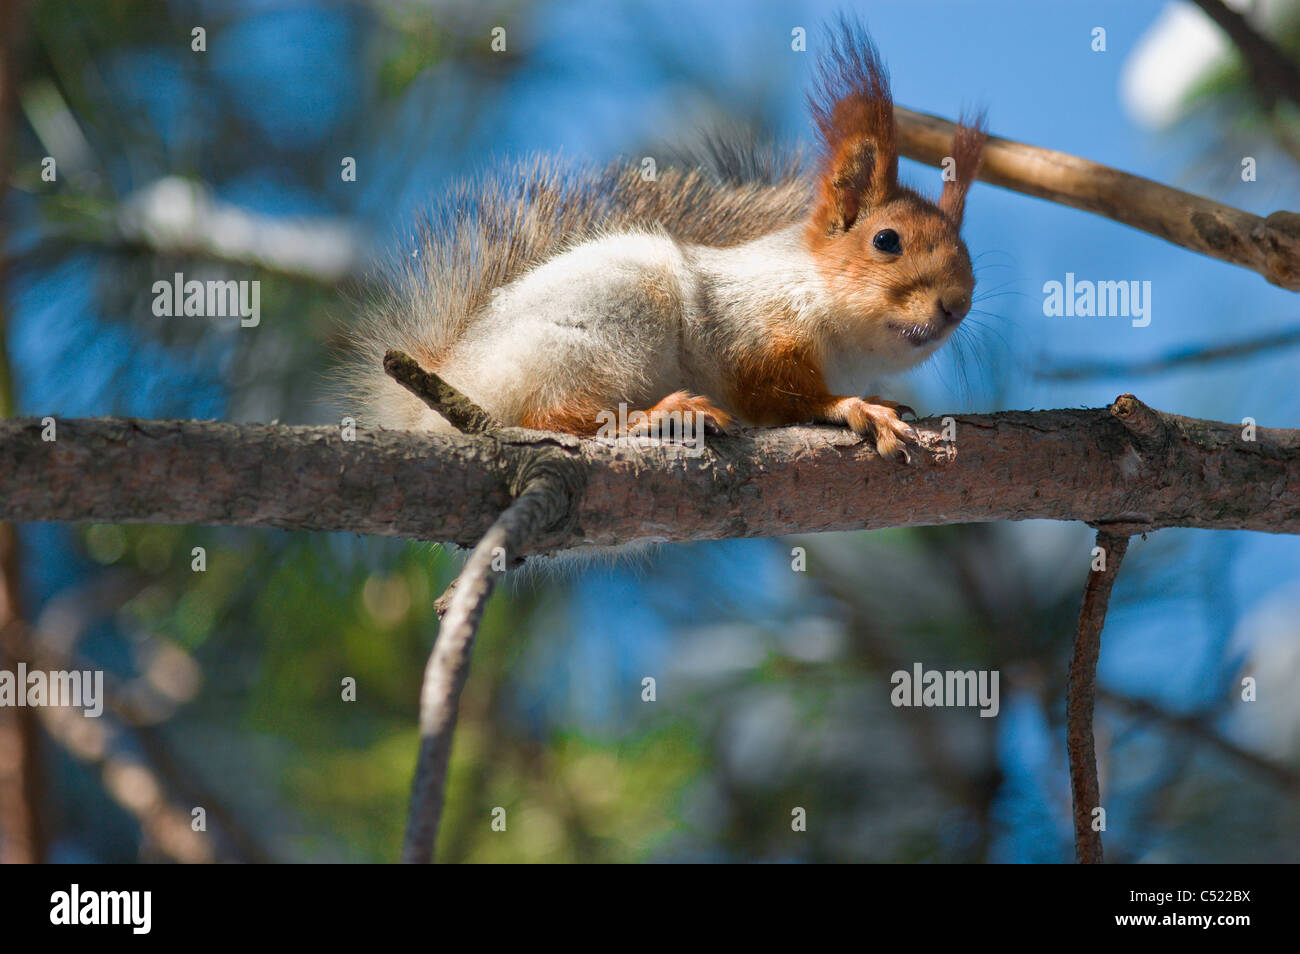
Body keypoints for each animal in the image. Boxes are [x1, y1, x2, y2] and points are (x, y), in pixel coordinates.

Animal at [351, 18, 986, 461]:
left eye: (969, 256)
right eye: (886, 240)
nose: (956, 305)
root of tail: (454, 380)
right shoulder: (748, 331)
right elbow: (777, 395)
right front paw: (860, 409)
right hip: (596, 335)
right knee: (552, 416)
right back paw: (656, 415)